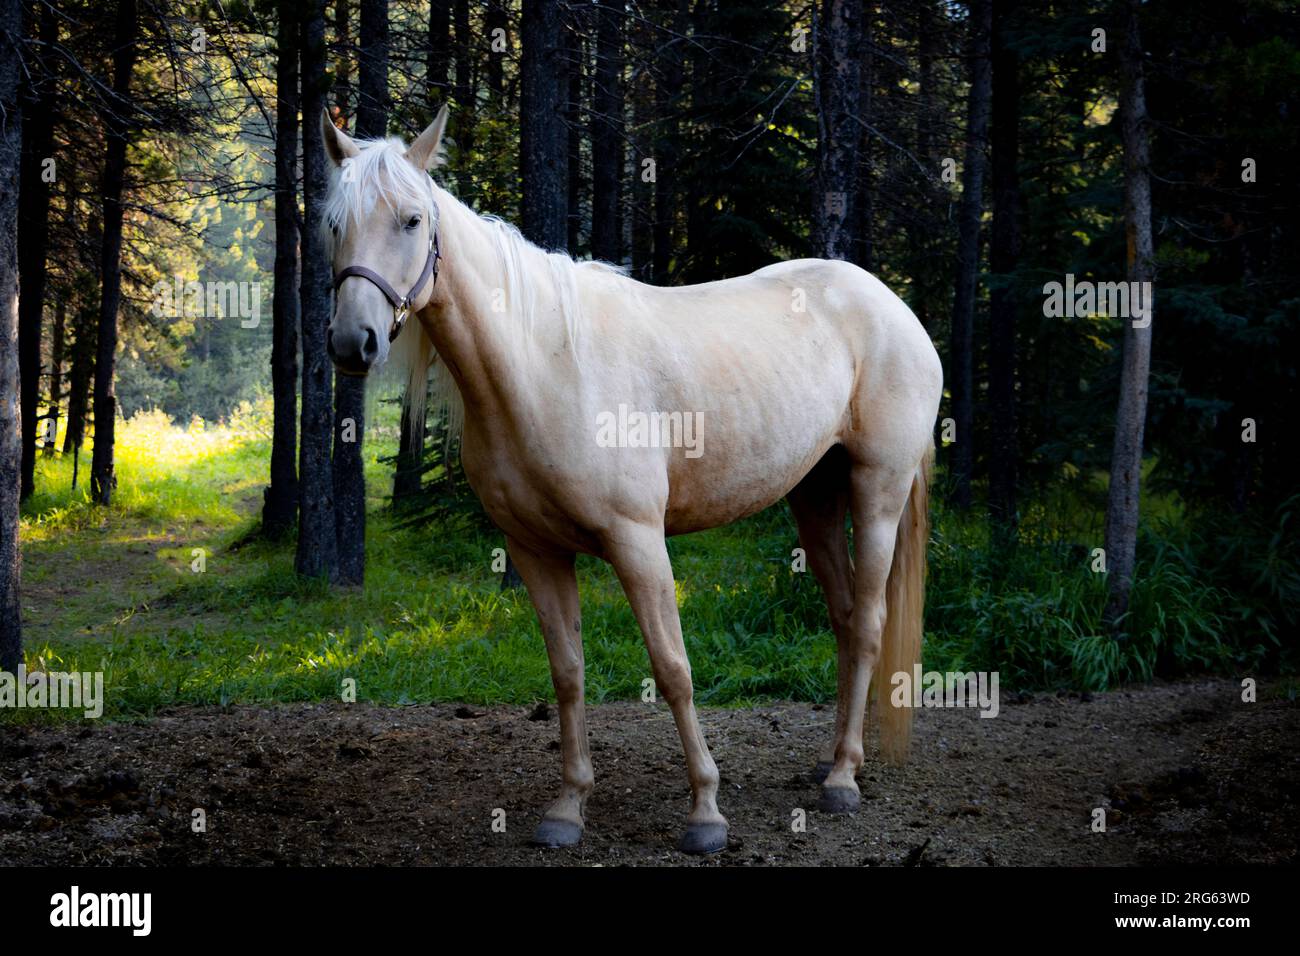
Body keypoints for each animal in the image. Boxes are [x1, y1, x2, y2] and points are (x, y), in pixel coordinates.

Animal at [320, 106, 943, 855]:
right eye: (333, 224)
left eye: (412, 220)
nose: (352, 342)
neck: (542, 365)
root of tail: (893, 308)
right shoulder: (536, 551)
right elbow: (567, 674)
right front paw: (567, 808)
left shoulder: (638, 541)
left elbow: (673, 669)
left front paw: (706, 812)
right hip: (814, 496)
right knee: (847, 621)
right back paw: (831, 761)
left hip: (877, 490)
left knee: (871, 623)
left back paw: (844, 779)